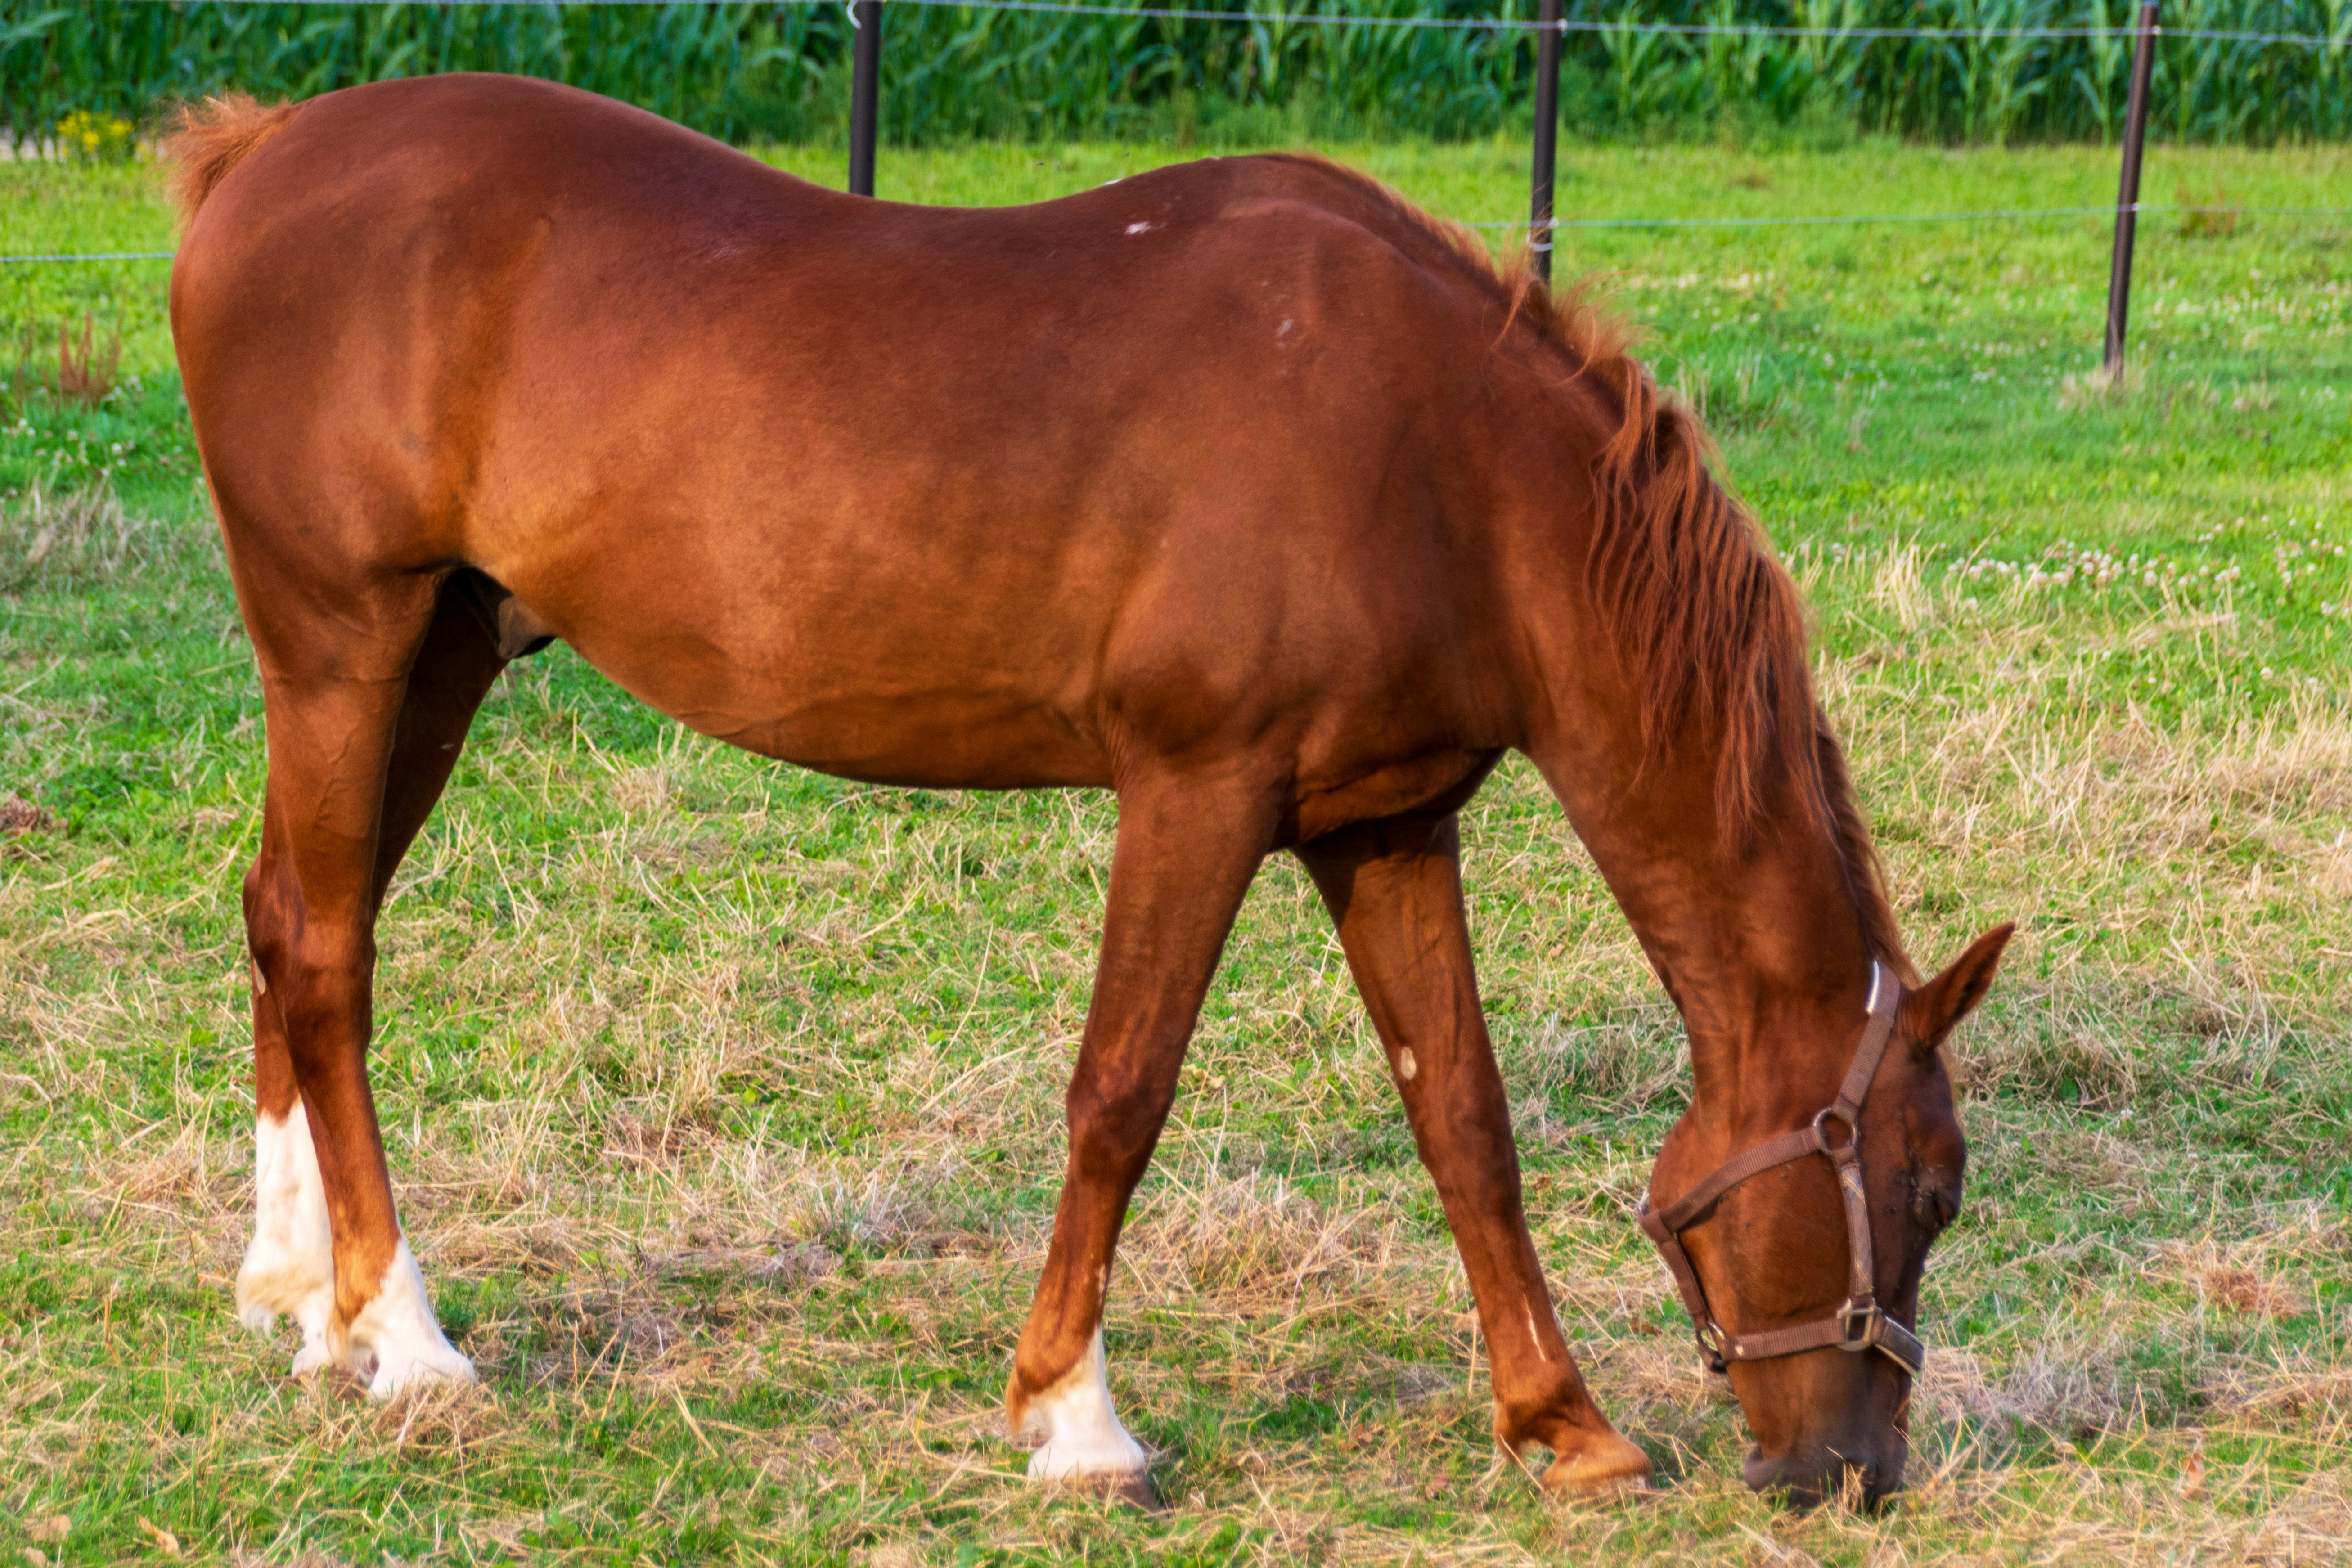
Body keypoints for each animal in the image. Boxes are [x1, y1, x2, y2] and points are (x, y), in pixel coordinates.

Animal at [166, 73, 2010, 1507]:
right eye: (1925, 1190)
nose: (1851, 1472)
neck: (1440, 456)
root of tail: (261, 152)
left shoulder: (1383, 821)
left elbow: (1463, 1120)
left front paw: (1563, 1423)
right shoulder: (1198, 789)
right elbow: (1122, 1090)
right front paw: (1075, 1416)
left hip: (439, 655)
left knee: (289, 915)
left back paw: (298, 1296)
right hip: (343, 643)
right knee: (329, 950)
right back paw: (404, 1335)